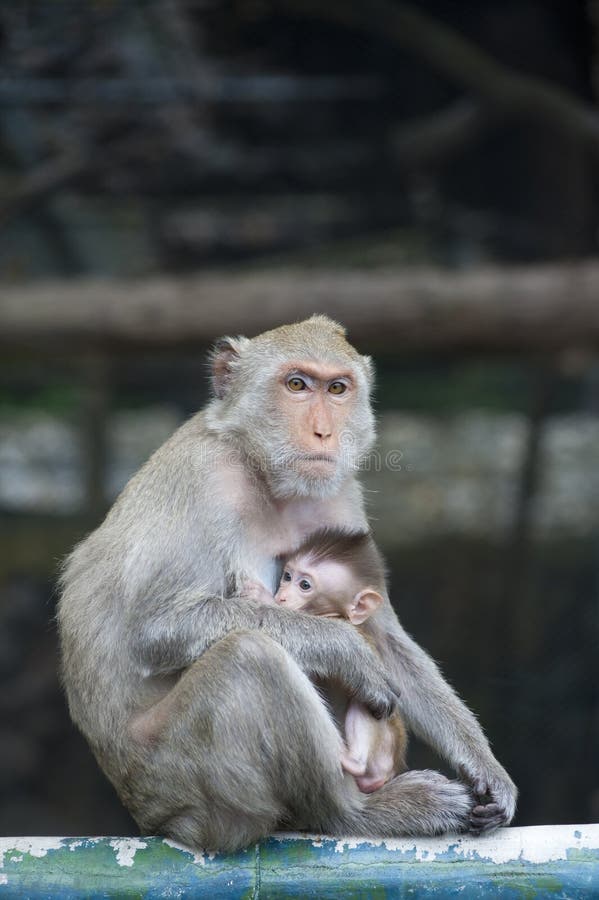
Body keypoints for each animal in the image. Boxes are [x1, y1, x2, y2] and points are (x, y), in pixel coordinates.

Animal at [244, 526, 408, 794]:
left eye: (305, 585)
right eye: (287, 576)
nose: (282, 596)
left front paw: (261, 596)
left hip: (385, 741)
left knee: (363, 704)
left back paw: (351, 760)